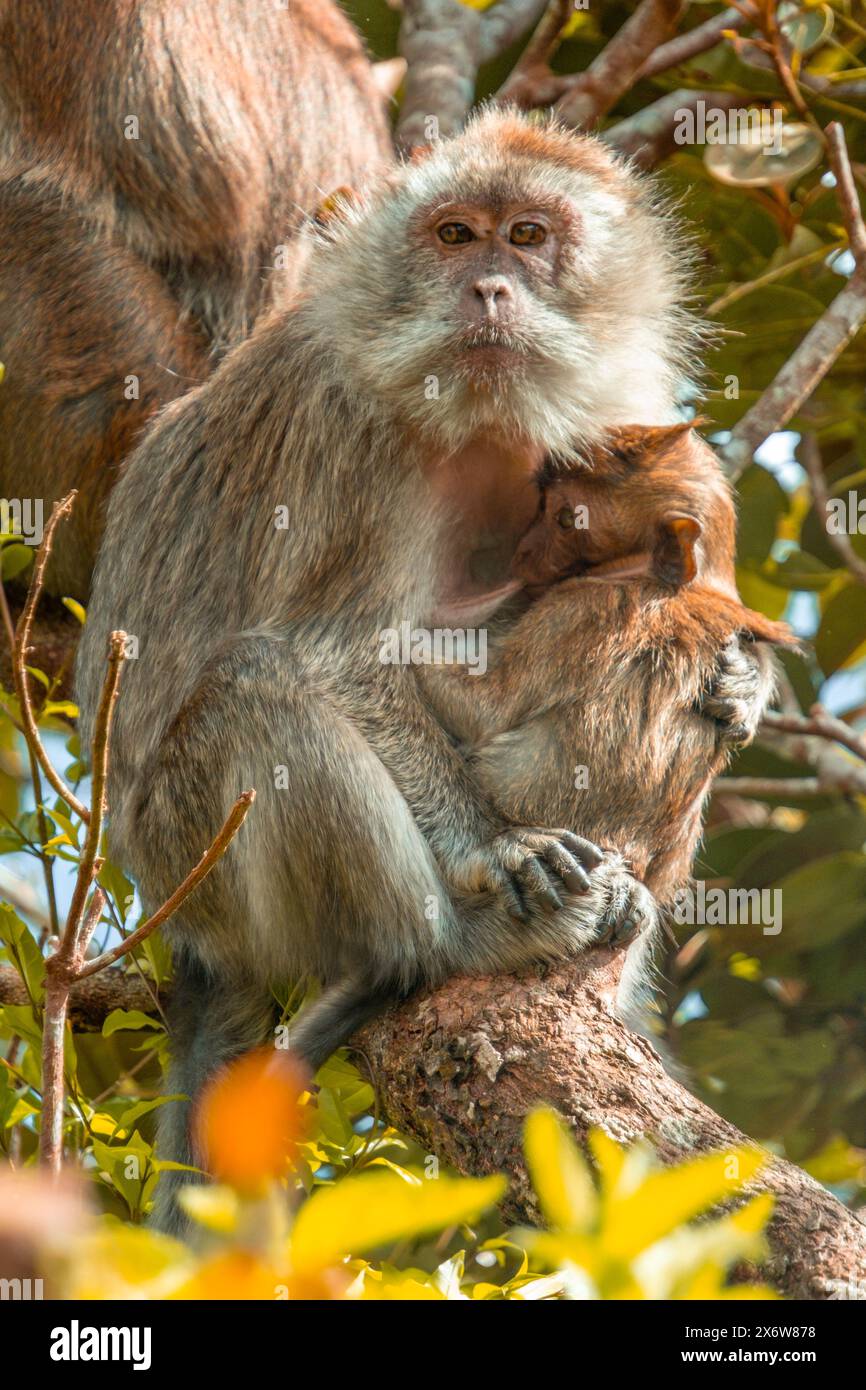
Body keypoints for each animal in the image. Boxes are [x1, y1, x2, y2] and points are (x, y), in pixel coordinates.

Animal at [419, 420, 795, 1009]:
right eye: (544, 503)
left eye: (565, 518)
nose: (524, 553)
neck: (672, 581)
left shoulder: (581, 609)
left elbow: (484, 708)